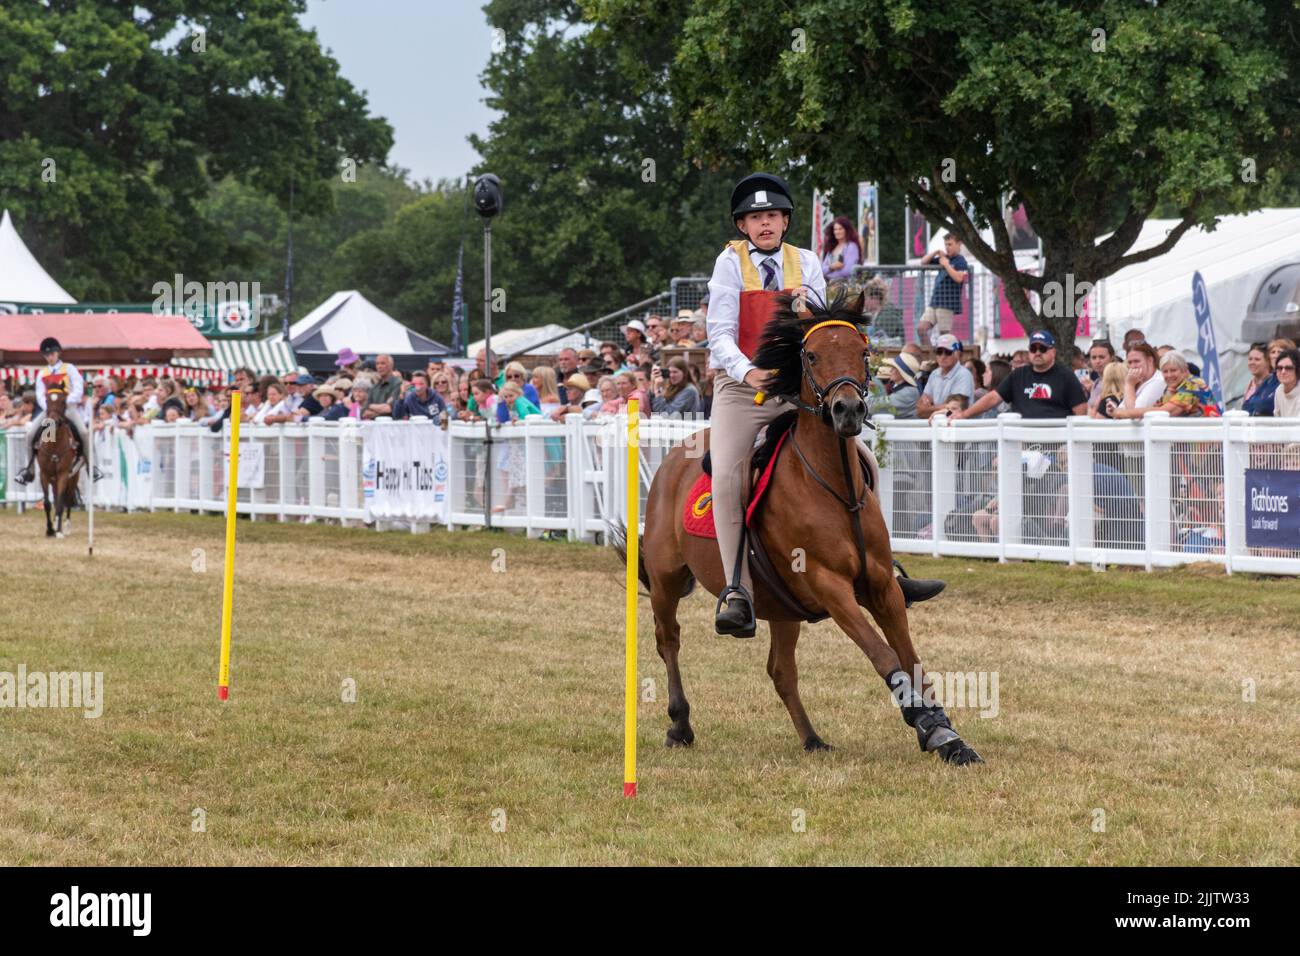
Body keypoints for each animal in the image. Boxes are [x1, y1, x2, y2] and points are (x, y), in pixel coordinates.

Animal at [37, 387, 82, 539]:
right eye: (46, 400)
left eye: (63, 401)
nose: (53, 422)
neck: (54, 446)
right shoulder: (44, 475)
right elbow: (47, 503)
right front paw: (50, 529)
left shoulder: (63, 475)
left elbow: (62, 503)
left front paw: (59, 531)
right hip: (53, 480)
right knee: (56, 499)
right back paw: (56, 523)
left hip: (73, 478)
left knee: (67, 499)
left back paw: (65, 527)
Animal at [626, 290, 982, 765]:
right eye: (810, 355)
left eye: (862, 352)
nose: (847, 410)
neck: (832, 485)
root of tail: (670, 462)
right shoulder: (830, 586)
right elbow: (883, 656)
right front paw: (926, 724)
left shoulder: (882, 586)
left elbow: (911, 659)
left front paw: (946, 734)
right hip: (666, 579)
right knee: (669, 641)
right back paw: (680, 724)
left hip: (782, 608)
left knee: (780, 670)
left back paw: (812, 738)